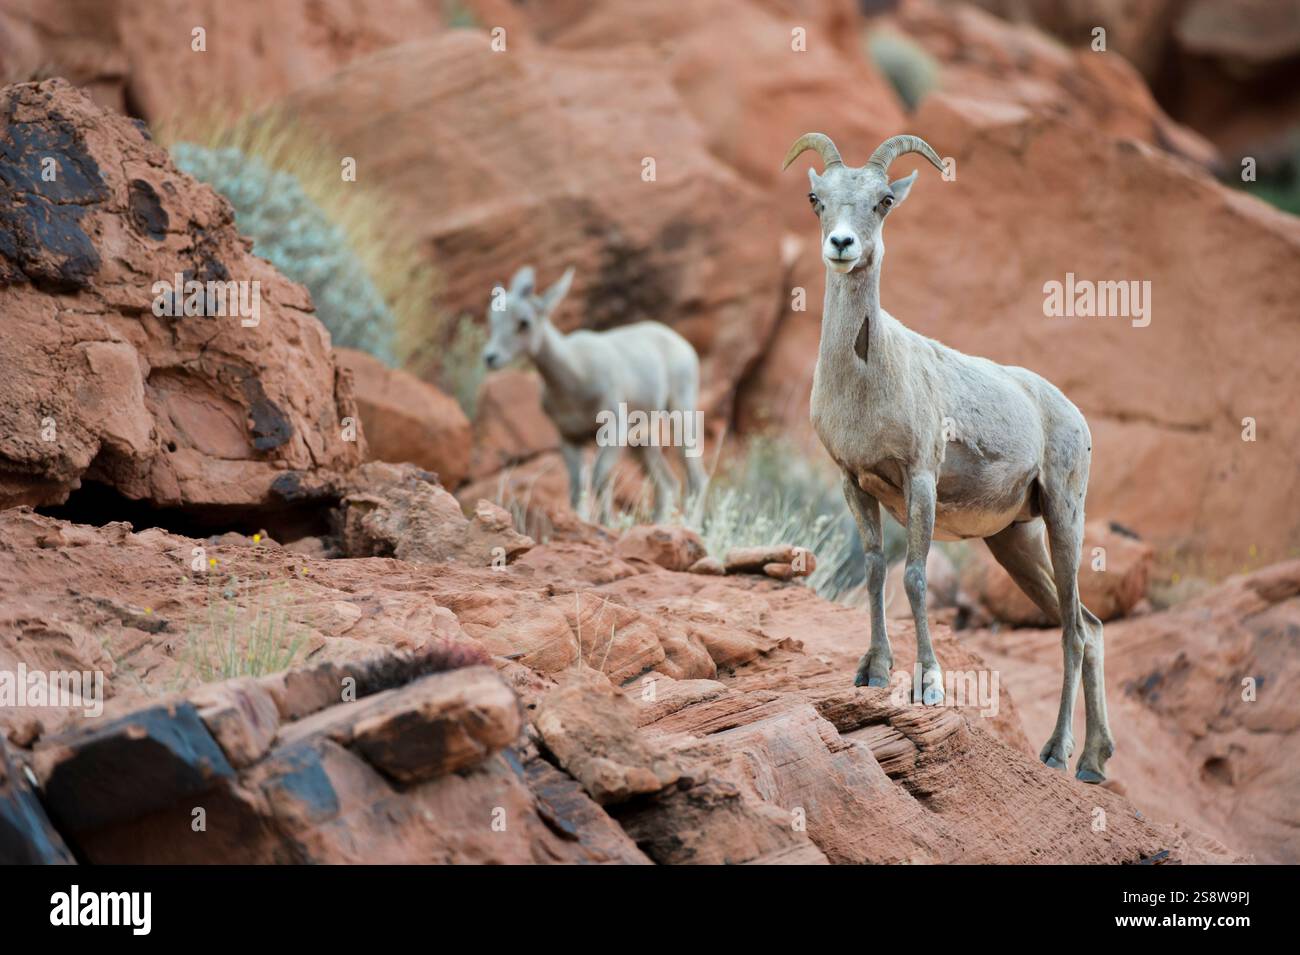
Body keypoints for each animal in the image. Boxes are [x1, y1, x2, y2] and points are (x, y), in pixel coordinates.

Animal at [481, 265, 708, 523]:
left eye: (524, 323)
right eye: (493, 318)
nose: (490, 357)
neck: (575, 376)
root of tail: (681, 344)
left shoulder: (613, 430)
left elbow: (600, 478)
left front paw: (606, 523)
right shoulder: (569, 438)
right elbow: (576, 488)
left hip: (680, 417)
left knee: (697, 479)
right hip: (642, 441)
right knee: (667, 484)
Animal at [783, 132, 1115, 783]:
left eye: (884, 201)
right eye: (816, 199)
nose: (842, 245)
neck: (867, 379)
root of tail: (1069, 412)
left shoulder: (920, 479)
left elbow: (912, 577)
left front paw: (928, 686)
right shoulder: (853, 483)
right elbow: (874, 571)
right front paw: (873, 673)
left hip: (1064, 517)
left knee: (1071, 631)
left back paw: (1057, 753)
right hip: (1013, 542)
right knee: (1088, 628)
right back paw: (1093, 763)